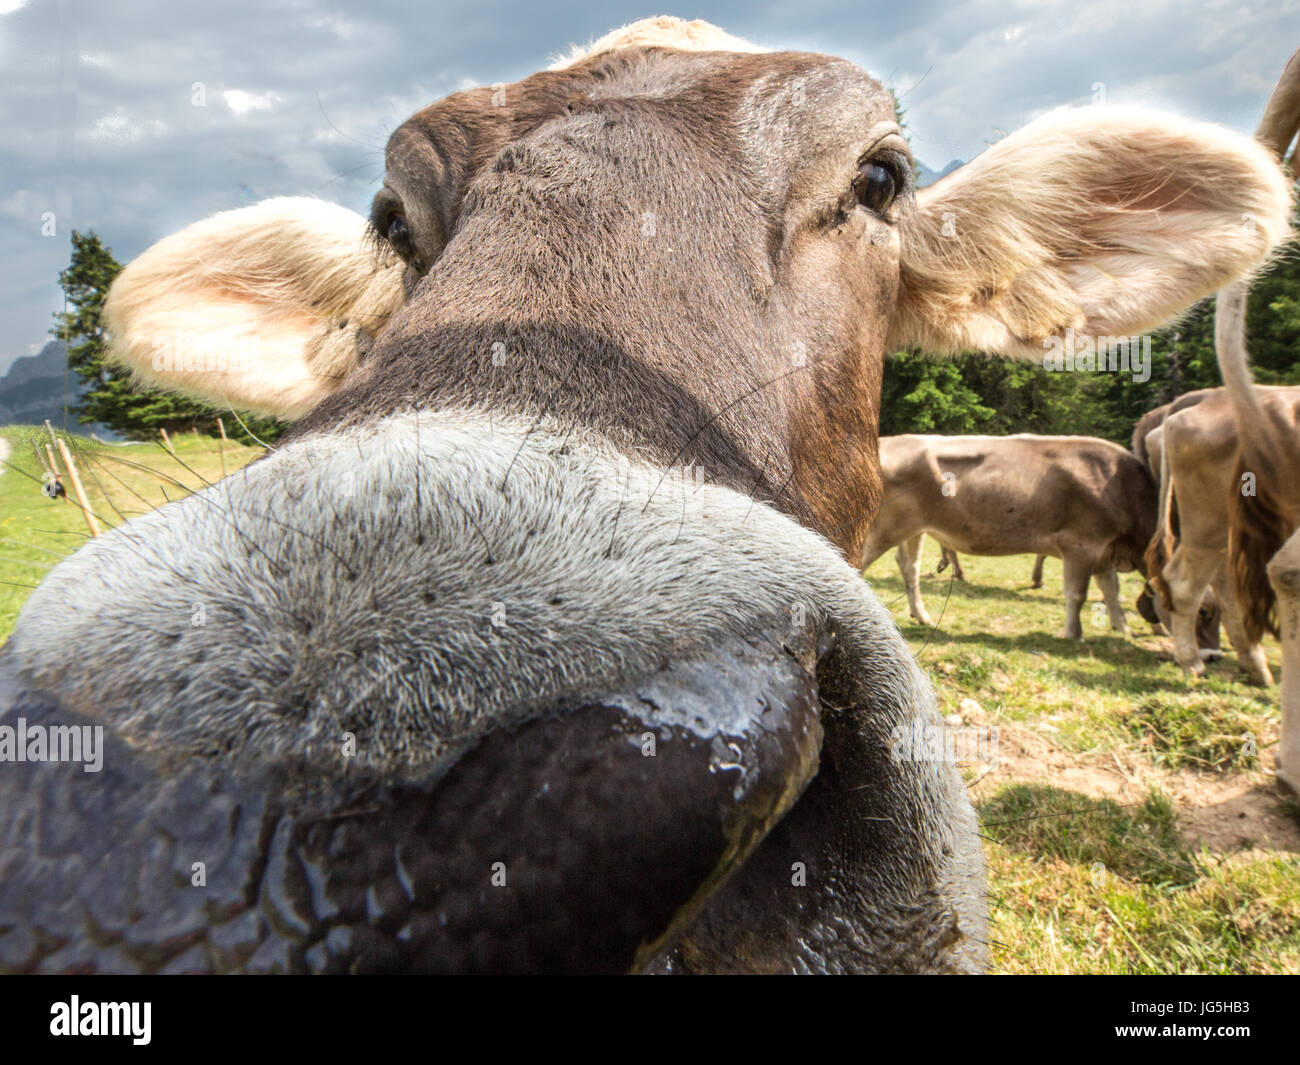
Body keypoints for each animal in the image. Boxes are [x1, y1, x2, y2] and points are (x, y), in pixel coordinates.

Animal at [864, 435, 1159, 639]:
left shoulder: (1105, 549)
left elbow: (1111, 590)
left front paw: (1122, 626)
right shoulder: (1080, 545)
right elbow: (1078, 594)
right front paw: (1074, 634)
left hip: (915, 529)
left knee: (909, 565)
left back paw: (921, 615)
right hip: (884, 528)